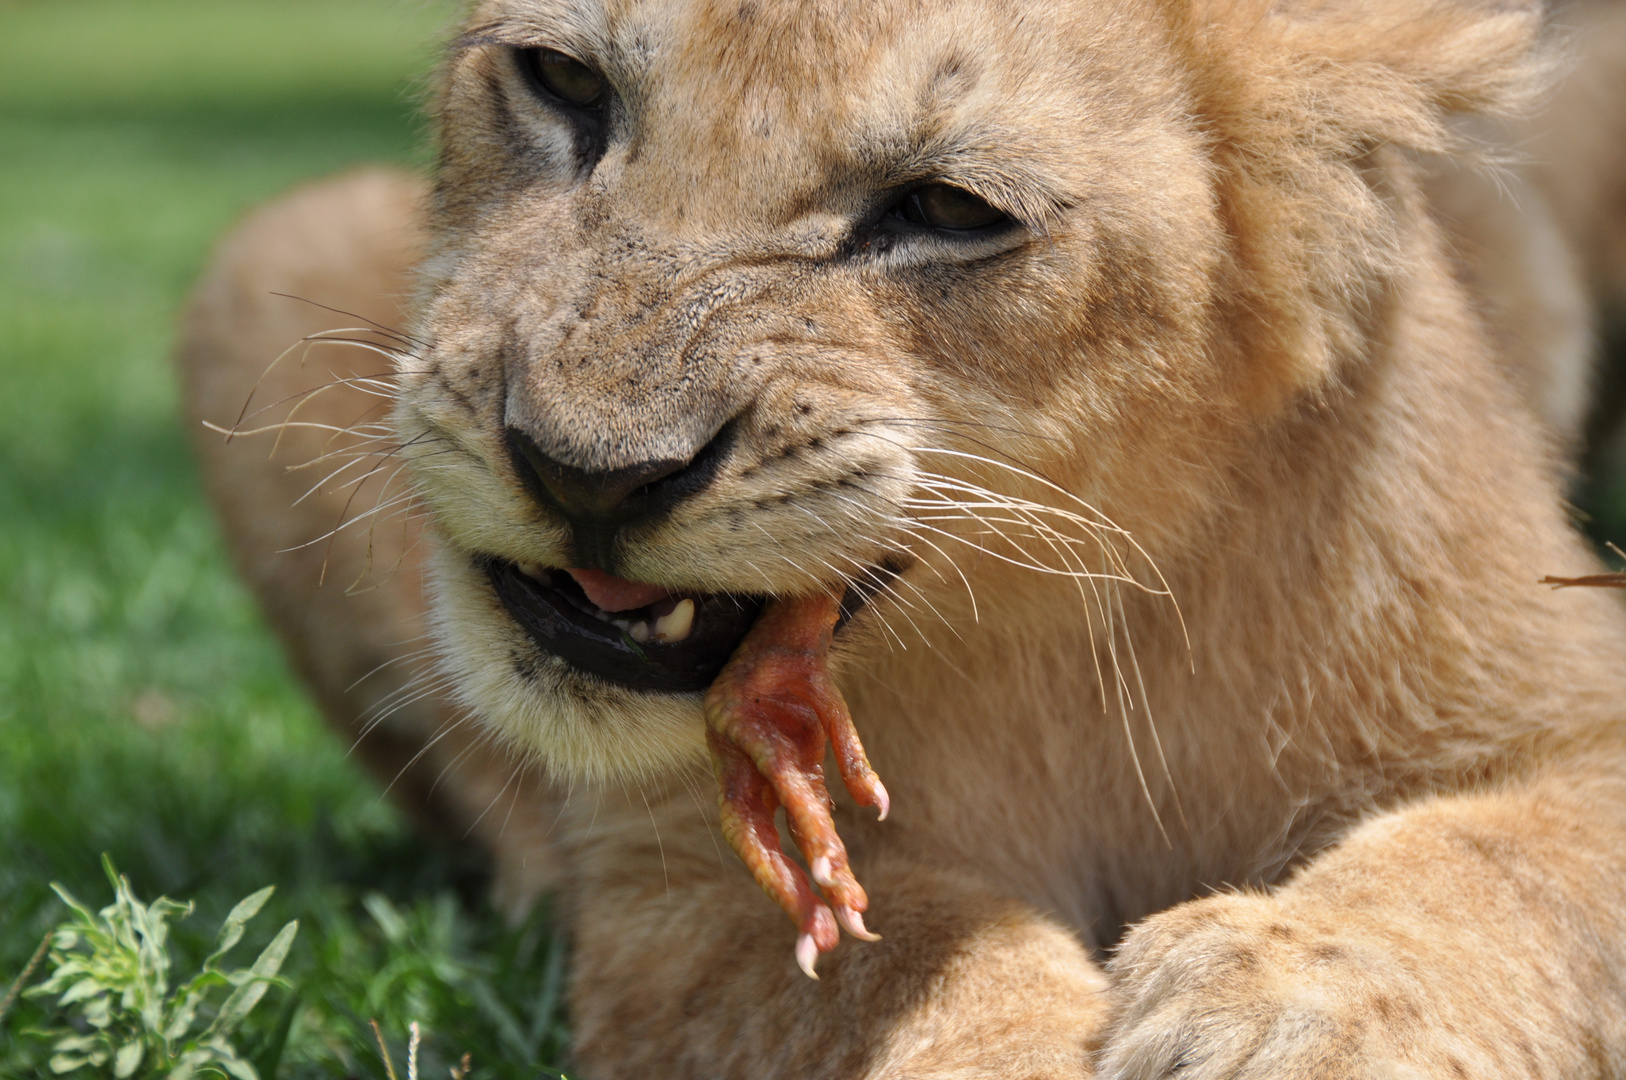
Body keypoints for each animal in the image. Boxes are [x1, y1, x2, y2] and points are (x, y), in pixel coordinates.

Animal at [177, 0, 1626, 1075]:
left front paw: (1288, 1007)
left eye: (949, 213)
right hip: (269, 255)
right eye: (561, 82)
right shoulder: (670, 888)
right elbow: (909, 971)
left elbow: (1514, 862)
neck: (1053, 618)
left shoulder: (1564, 689)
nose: (582, 473)